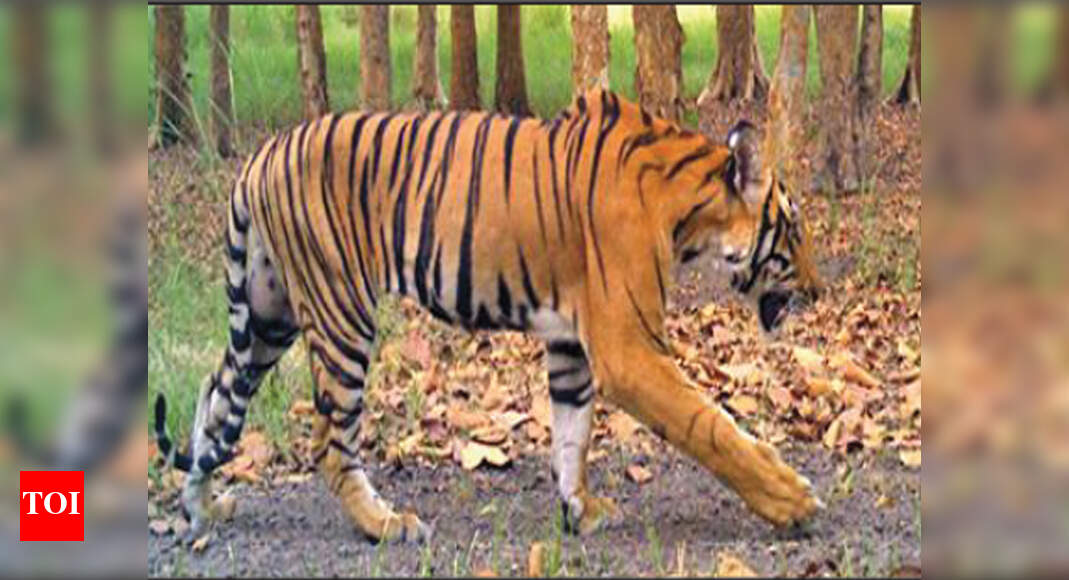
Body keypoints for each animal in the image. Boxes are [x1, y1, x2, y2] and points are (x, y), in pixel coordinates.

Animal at [155, 87, 823, 545]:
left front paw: (581, 510)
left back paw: (202, 510)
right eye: (794, 232)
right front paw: (792, 500)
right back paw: (386, 524)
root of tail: (261, 154)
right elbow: (709, 427)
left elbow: (573, 436)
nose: (818, 292)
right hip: (340, 313)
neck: (689, 210)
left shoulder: (572, 347)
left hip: (268, 316)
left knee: (215, 397)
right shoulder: (628, 349)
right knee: (327, 441)